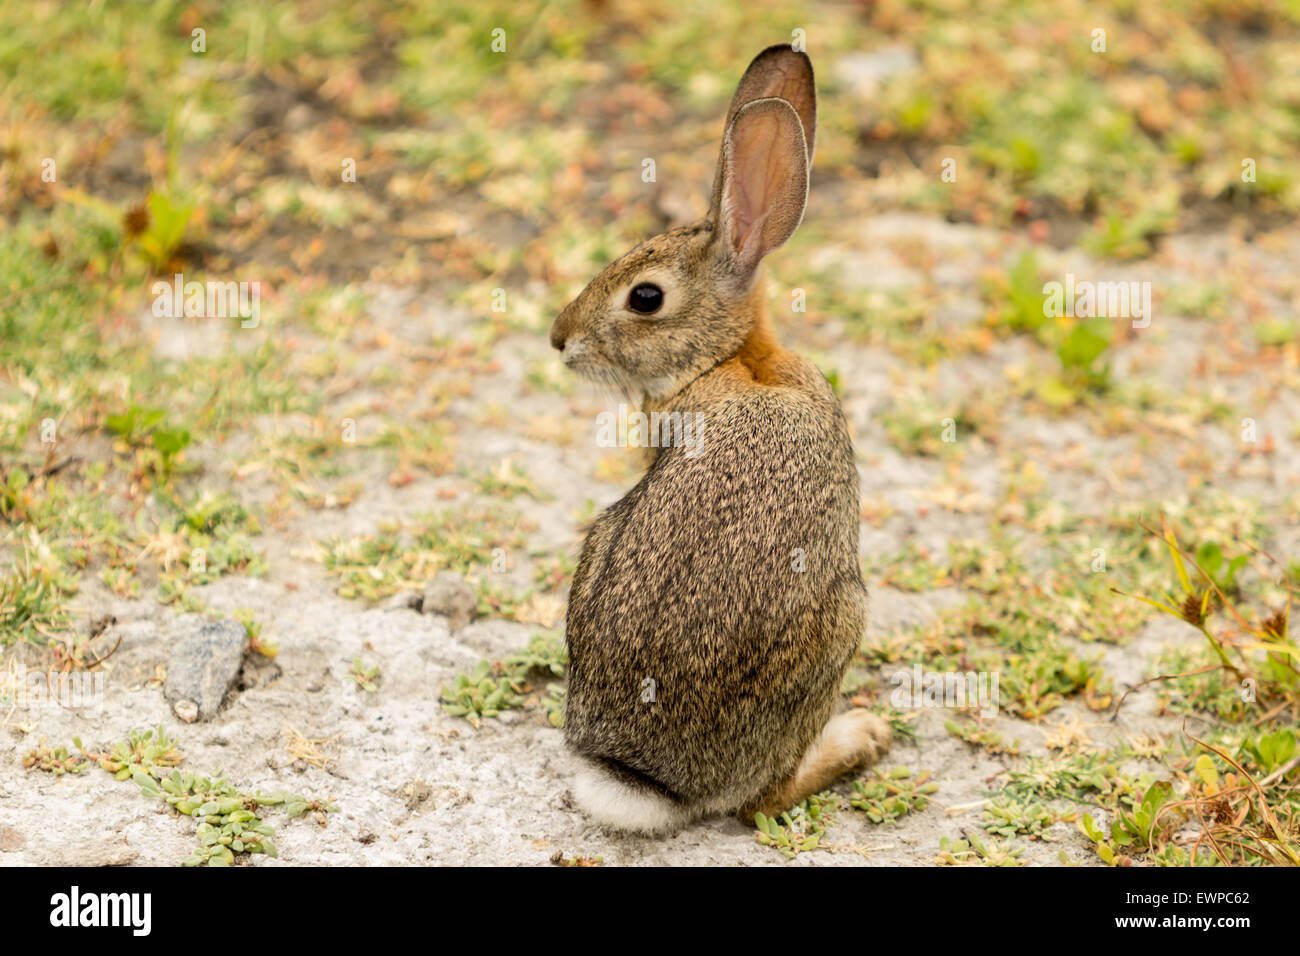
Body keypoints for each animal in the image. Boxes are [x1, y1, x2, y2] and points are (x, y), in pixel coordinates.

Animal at [549, 44, 890, 834]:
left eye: (645, 297)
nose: (559, 339)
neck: (728, 358)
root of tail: (646, 779)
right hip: (843, 623)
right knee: (763, 799)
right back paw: (860, 737)